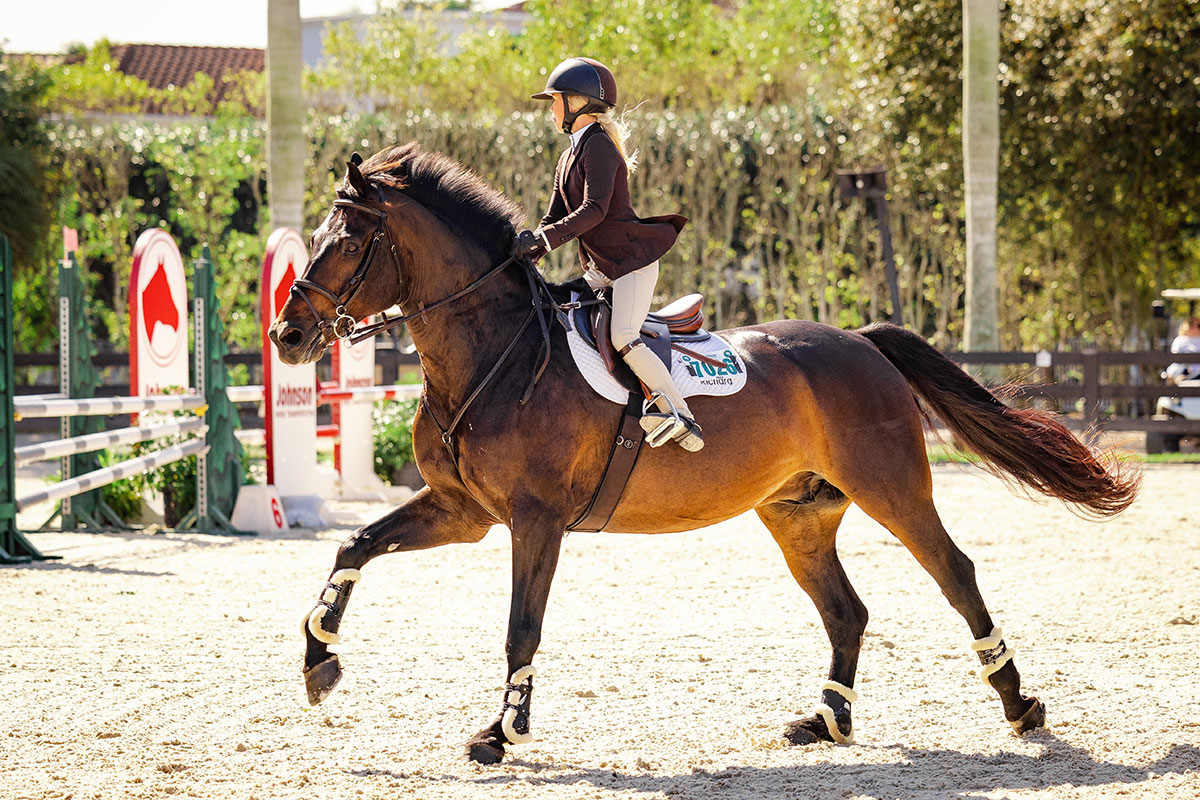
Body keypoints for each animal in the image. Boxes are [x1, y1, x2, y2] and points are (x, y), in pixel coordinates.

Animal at [268, 143, 1138, 764]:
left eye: (350, 241)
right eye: (315, 239)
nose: (287, 334)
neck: (493, 355)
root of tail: (859, 340)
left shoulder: (534, 521)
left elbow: (522, 626)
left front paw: (502, 731)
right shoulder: (463, 512)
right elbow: (355, 544)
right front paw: (319, 659)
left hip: (892, 489)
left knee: (955, 574)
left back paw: (1020, 705)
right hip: (796, 513)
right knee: (847, 610)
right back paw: (826, 719)